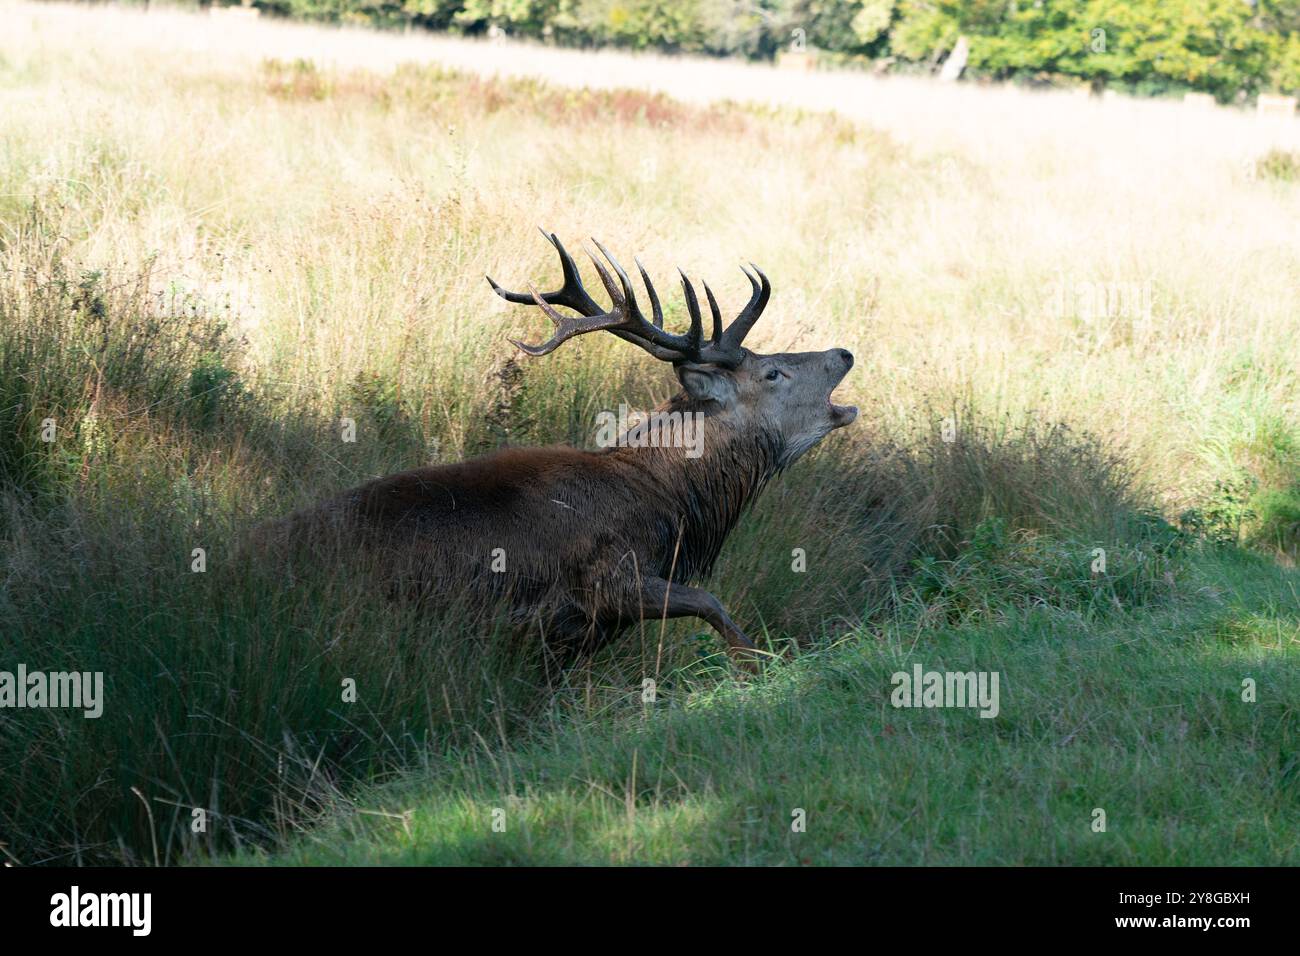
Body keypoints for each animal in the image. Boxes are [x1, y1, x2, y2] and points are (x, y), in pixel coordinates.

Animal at [268, 232, 857, 673]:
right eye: (773, 372)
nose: (844, 352)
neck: (674, 507)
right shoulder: (608, 579)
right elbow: (713, 605)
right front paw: (756, 665)